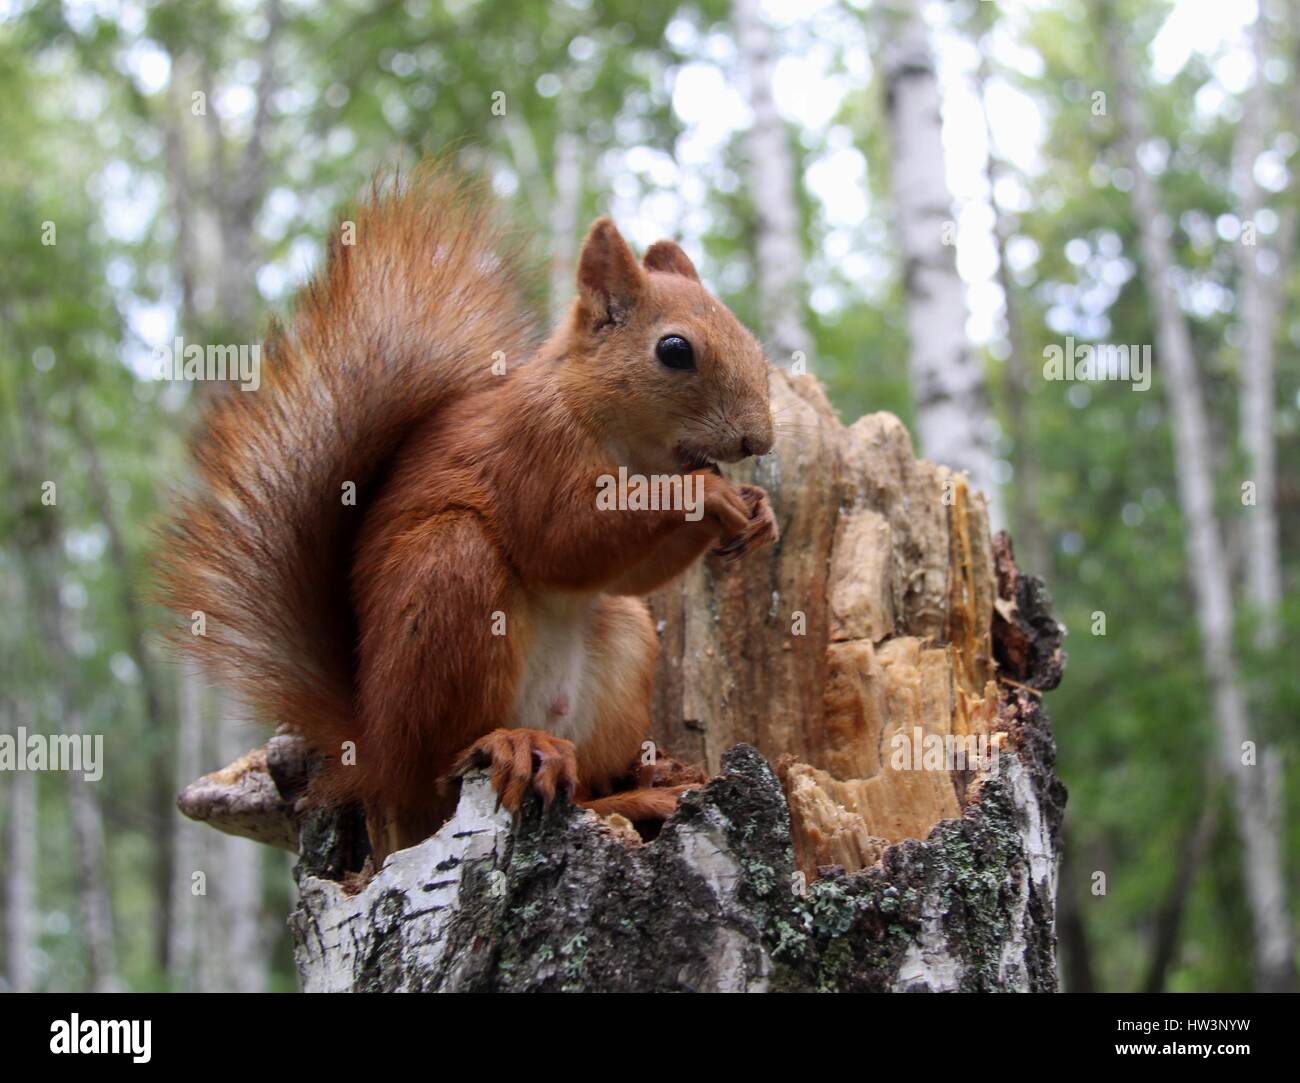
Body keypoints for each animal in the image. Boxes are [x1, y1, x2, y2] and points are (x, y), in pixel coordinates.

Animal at [158, 166, 778, 865]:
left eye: (748, 338)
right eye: (674, 350)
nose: (758, 440)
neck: (625, 437)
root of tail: (375, 757)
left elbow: (621, 574)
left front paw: (760, 514)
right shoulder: (529, 452)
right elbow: (564, 540)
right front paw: (706, 495)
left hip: (623, 644)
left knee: (586, 784)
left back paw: (645, 786)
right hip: (451, 575)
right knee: (444, 766)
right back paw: (515, 745)